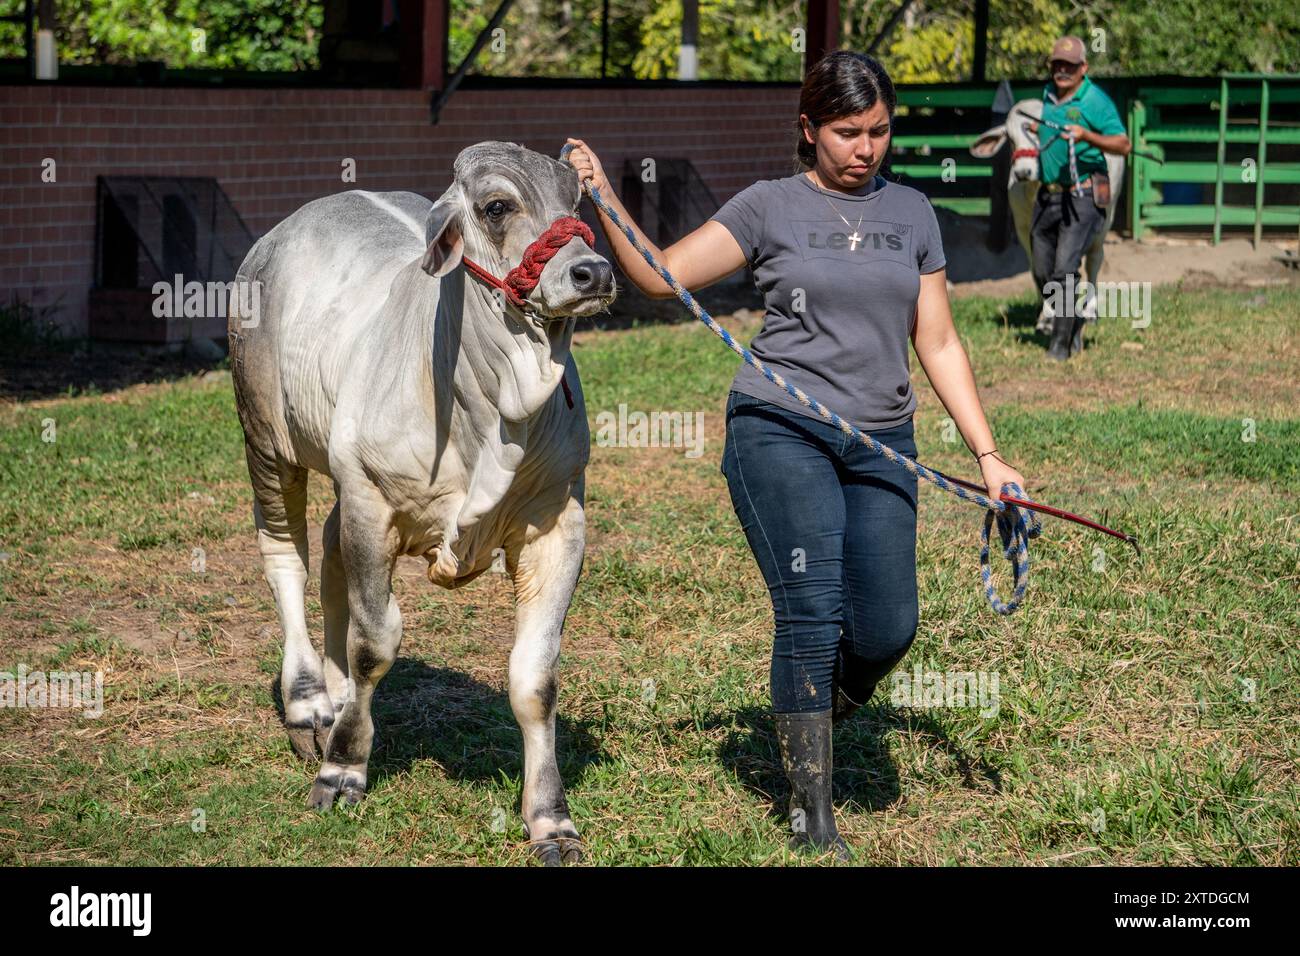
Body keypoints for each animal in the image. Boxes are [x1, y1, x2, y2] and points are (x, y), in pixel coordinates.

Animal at [227, 141, 616, 865]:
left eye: (577, 199)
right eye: (496, 206)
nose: (593, 271)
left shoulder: (558, 520)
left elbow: (535, 678)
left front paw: (551, 820)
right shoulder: (372, 505)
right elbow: (375, 643)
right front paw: (343, 770)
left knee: (329, 564)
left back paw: (334, 700)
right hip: (266, 439)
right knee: (286, 557)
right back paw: (308, 704)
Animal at [970, 98, 1126, 333]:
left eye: (1040, 133)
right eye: (1010, 138)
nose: (1022, 172)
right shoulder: (1024, 228)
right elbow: (1038, 269)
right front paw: (1045, 316)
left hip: (1107, 215)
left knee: (1094, 259)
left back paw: (1090, 311)